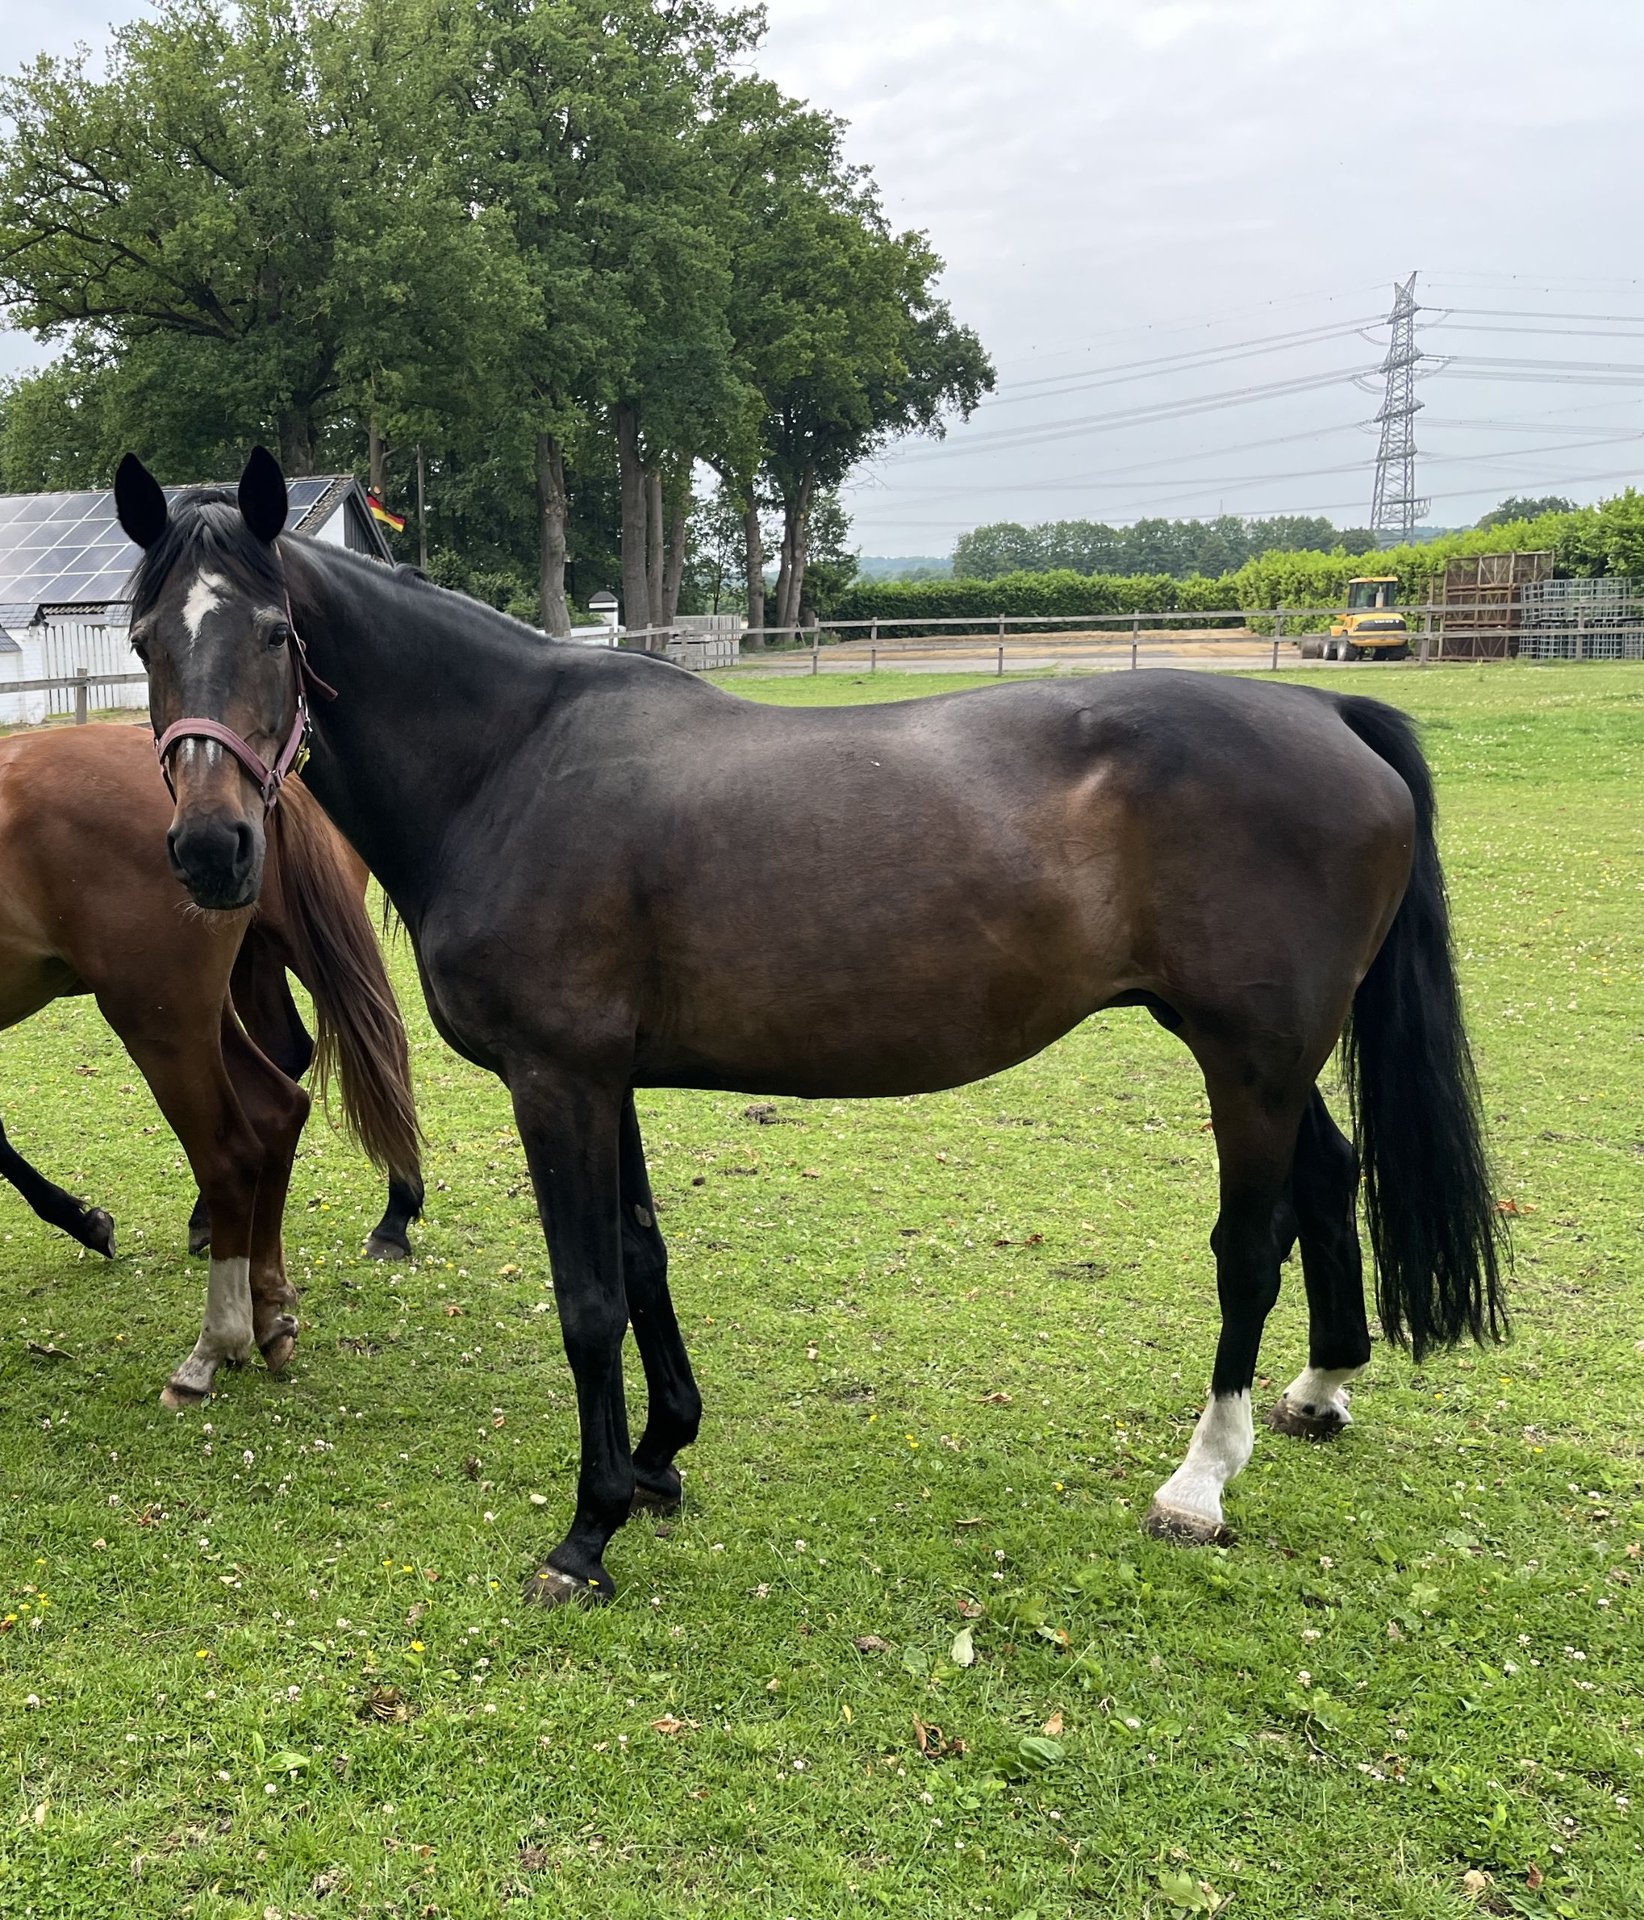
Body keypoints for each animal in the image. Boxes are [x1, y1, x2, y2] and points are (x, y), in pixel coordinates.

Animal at [0, 721, 422, 1405]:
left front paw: (85, 1221)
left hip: (166, 1009)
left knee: (238, 1145)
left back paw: (218, 1342)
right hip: (232, 978)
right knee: (286, 1094)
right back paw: (270, 1304)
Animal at [114, 448, 1507, 1606]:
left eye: (279, 633)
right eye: (139, 639)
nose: (210, 850)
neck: (510, 766)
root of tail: (1330, 713)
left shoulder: (556, 1081)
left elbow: (588, 1297)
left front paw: (587, 1532)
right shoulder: (606, 1080)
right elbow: (644, 1259)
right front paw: (661, 1458)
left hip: (1247, 1060)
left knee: (1251, 1242)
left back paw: (1200, 1480)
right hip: (1257, 1053)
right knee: (1332, 1177)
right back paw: (1320, 1389)